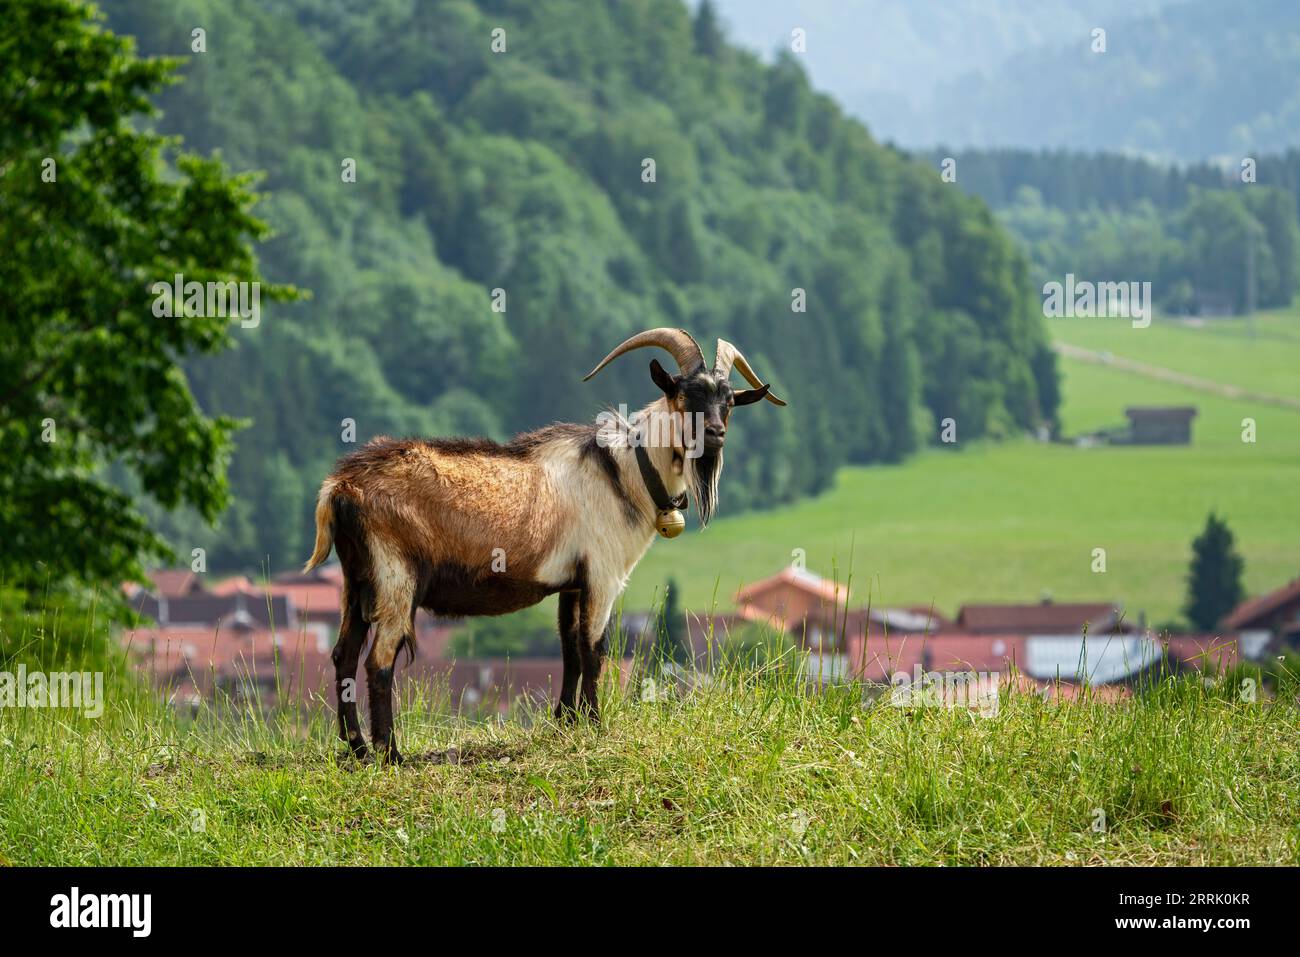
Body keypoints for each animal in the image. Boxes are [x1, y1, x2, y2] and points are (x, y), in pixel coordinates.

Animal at [304, 328, 785, 762]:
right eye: (687, 395)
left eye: (728, 400)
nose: (716, 433)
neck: (625, 470)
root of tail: (340, 487)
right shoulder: (603, 575)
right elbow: (594, 649)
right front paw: (595, 724)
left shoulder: (572, 582)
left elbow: (569, 648)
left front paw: (565, 723)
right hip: (394, 576)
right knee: (378, 660)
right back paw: (390, 754)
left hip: (355, 580)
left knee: (343, 655)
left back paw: (357, 749)